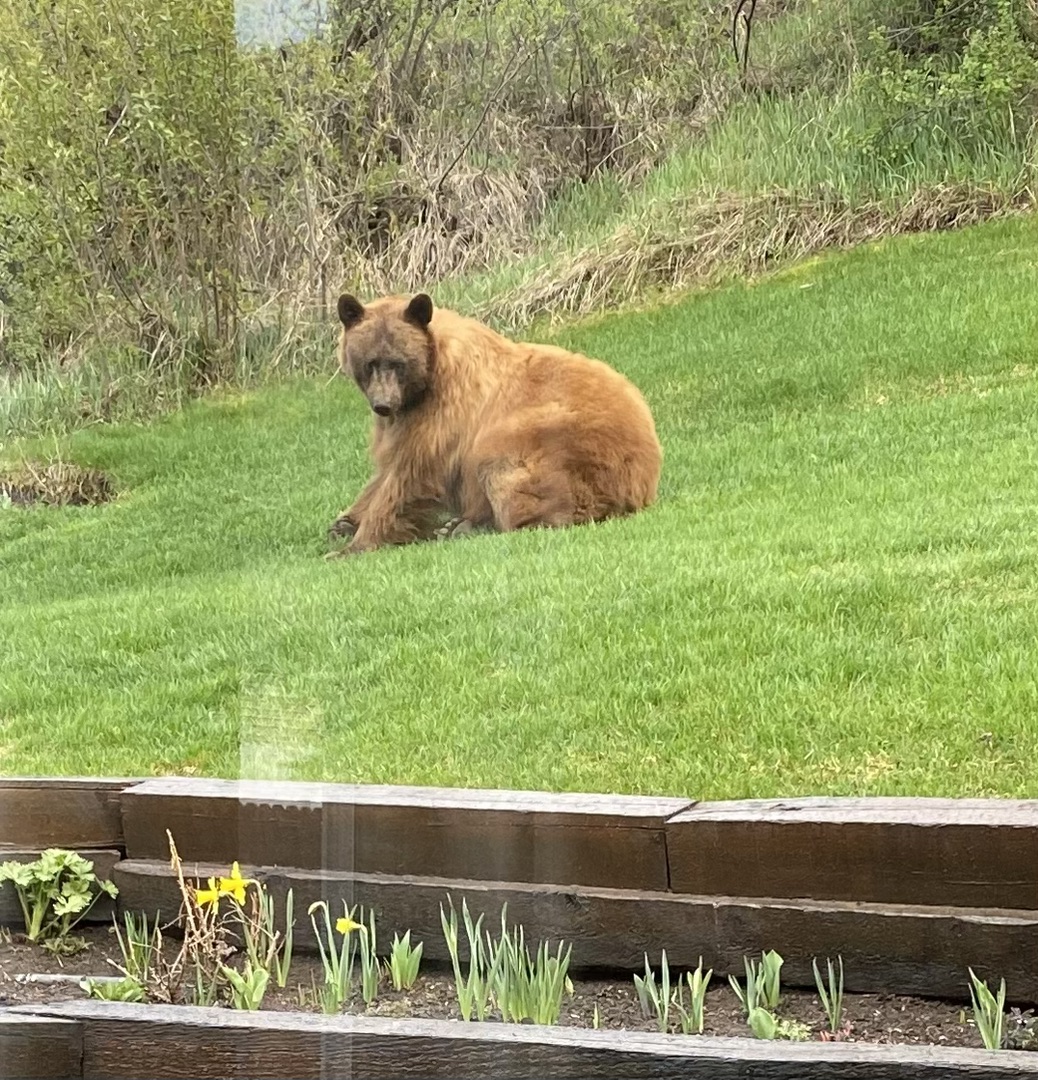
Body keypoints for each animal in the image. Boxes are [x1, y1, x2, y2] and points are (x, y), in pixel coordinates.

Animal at [326, 292, 662, 557]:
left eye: (397, 363)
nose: (383, 404)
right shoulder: (401, 420)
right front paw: (345, 521)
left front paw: (354, 546)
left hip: (551, 442)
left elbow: (412, 474)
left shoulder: (444, 413)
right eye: (370, 362)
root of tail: (645, 480)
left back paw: (470, 526)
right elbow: (387, 467)